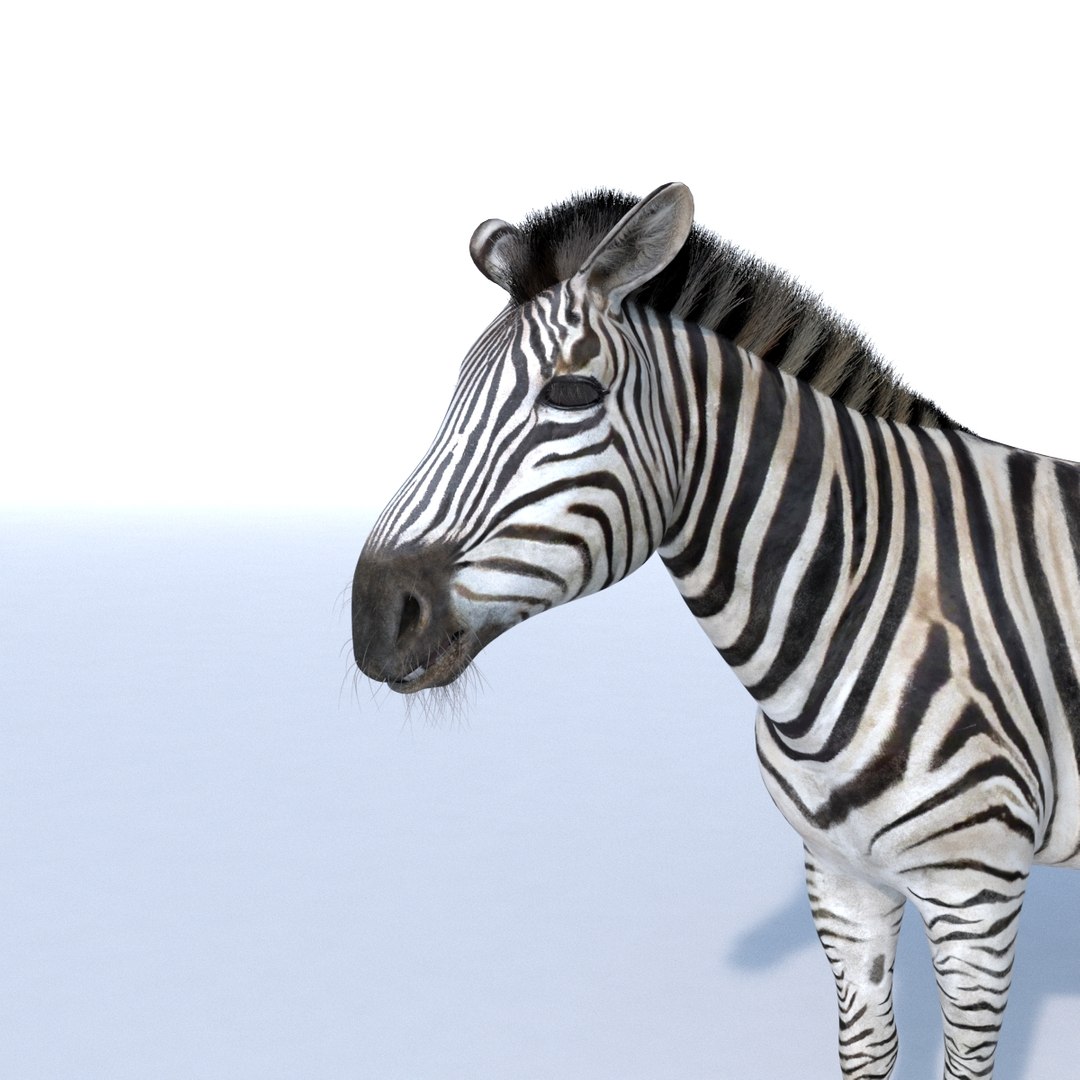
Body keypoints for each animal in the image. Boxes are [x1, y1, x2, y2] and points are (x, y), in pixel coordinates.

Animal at [351, 183, 1080, 1079]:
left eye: (570, 396)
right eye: (453, 398)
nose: (375, 616)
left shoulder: (977, 893)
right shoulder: (843, 879)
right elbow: (869, 1049)